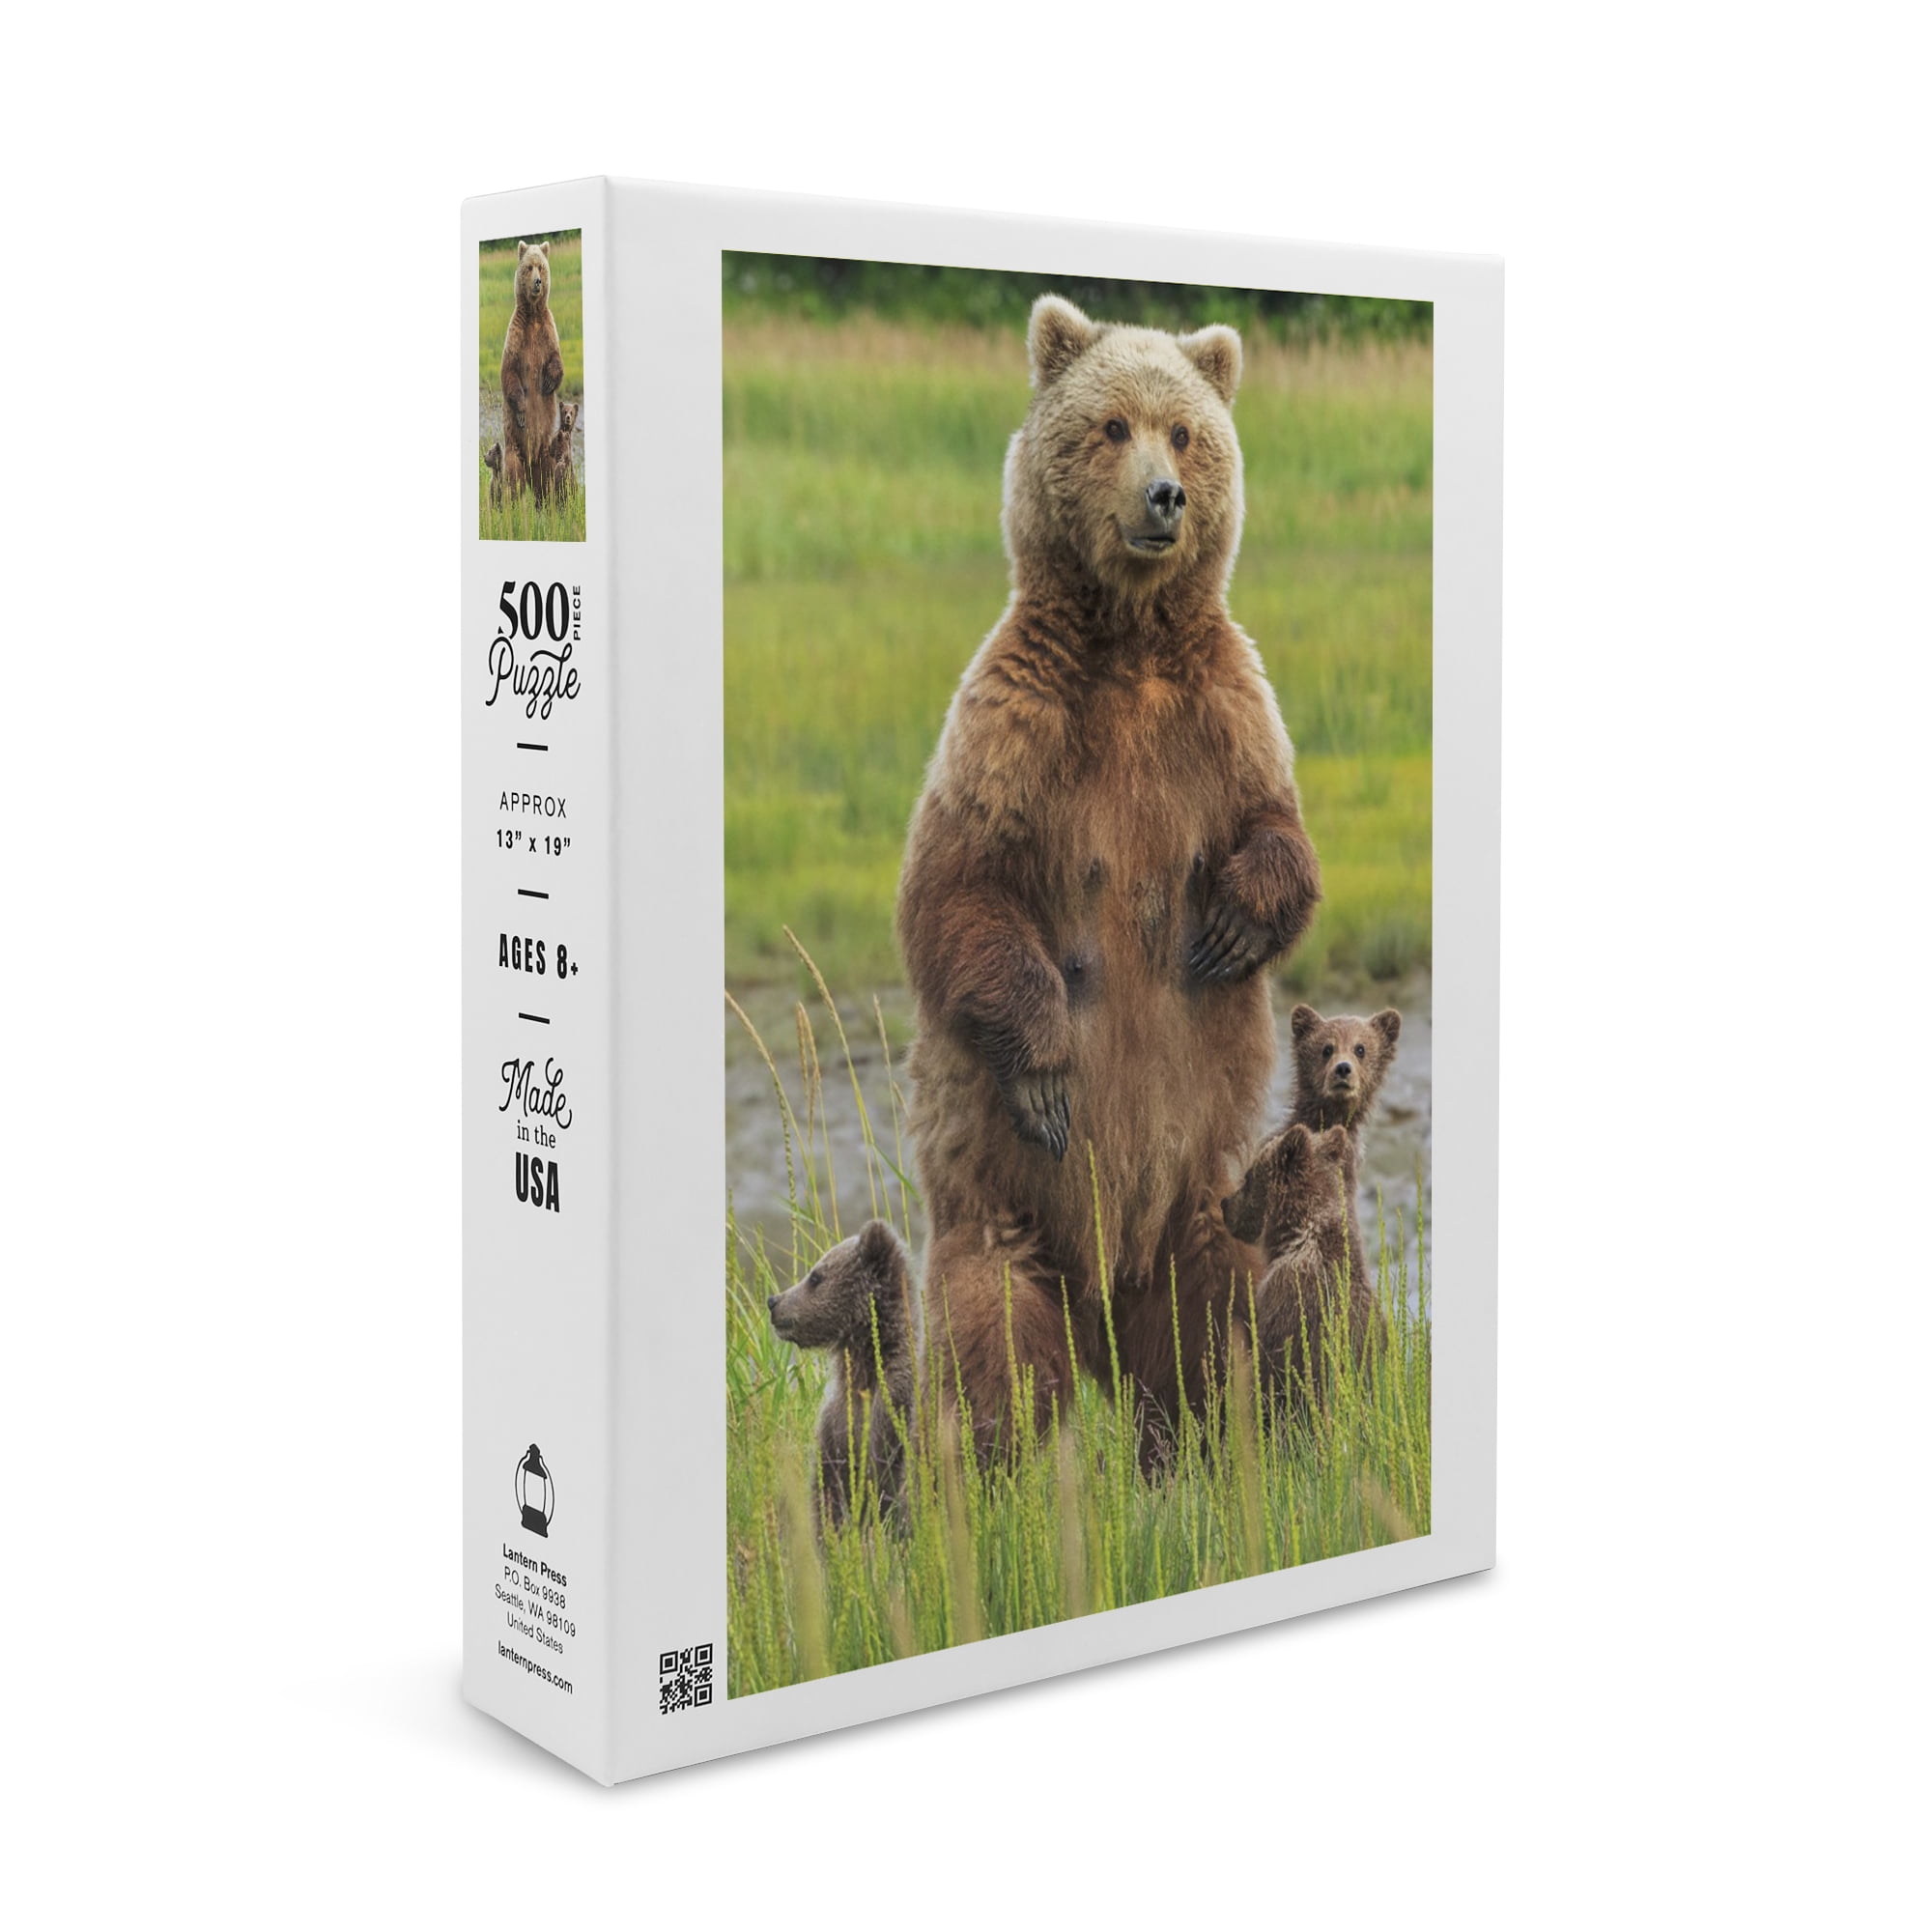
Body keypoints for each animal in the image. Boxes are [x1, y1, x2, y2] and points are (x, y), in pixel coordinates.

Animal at [498, 241, 564, 501]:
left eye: (541, 267)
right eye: (528, 267)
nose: (537, 282)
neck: (533, 314)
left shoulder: (547, 331)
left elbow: (556, 359)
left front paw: (547, 382)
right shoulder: (517, 336)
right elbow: (509, 373)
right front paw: (522, 411)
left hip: (546, 450)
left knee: (546, 482)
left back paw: (548, 503)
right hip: (514, 446)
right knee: (512, 480)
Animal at [896, 295, 1322, 1458]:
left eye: (1185, 432)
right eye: (1110, 426)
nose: (1163, 496)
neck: (1127, 641)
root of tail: (1102, 1283)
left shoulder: (1226, 712)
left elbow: (1279, 831)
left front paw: (1228, 924)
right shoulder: (1014, 722)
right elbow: (960, 889)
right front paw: (1046, 1065)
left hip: (1202, 1191)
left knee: (1208, 1321)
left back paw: (1209, 1444)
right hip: (997, 1198)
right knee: (992, 1332)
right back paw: (1003, 1466)